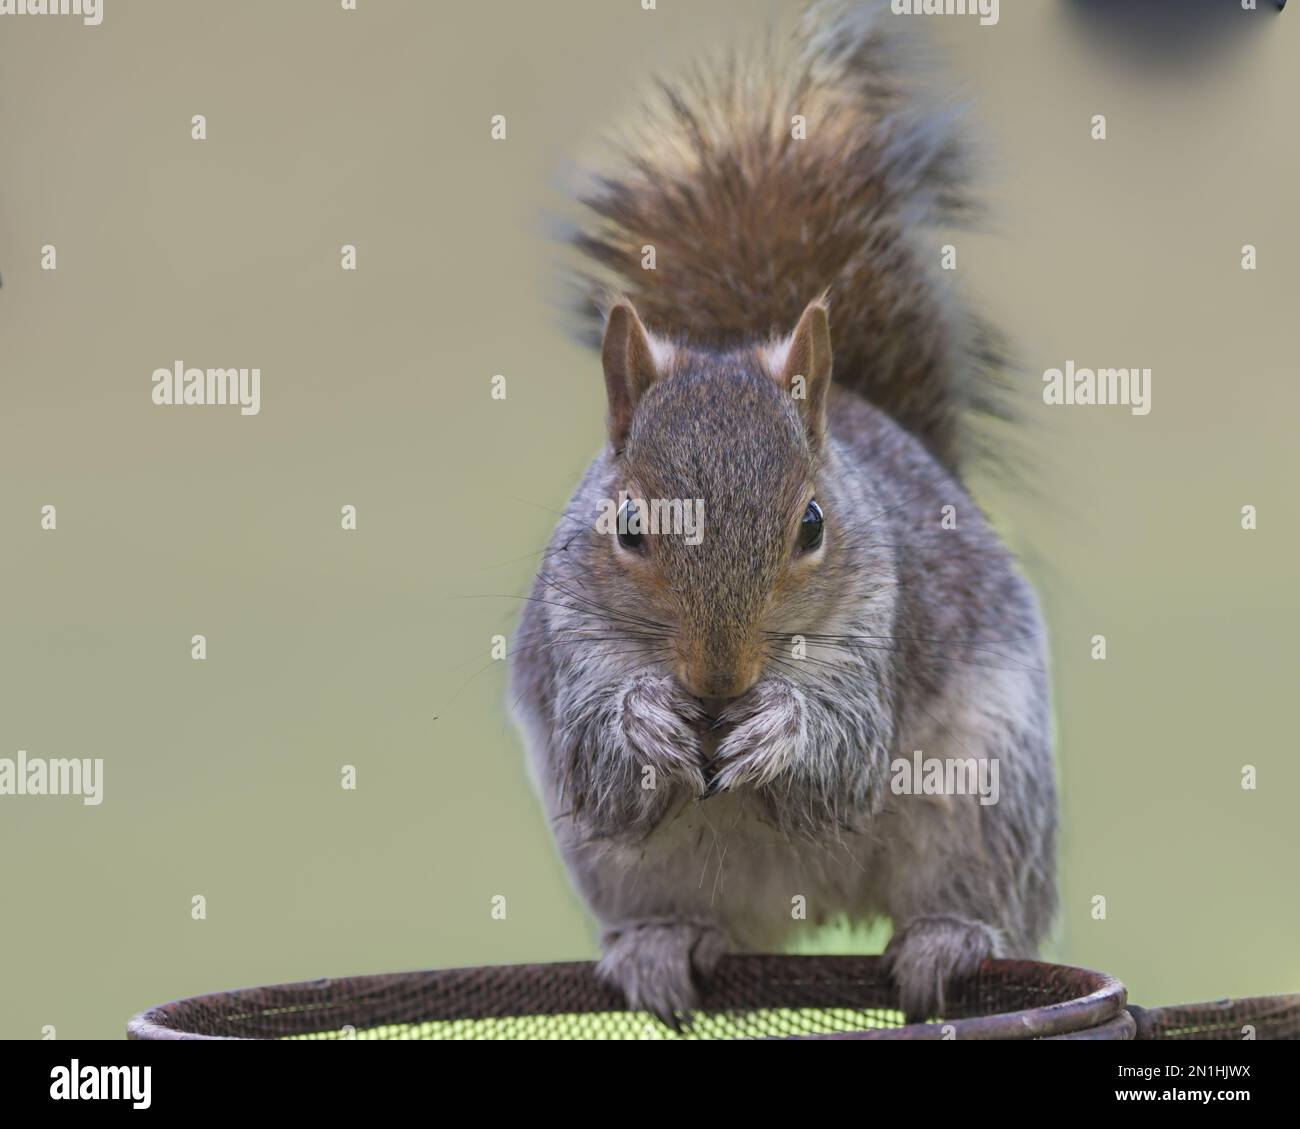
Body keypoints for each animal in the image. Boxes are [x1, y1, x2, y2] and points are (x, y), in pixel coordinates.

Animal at [509, 0, 1056, 1026]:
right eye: (629, 527)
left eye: (812, 526)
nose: (720, 678)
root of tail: (812, 911)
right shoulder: (571, 640)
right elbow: (598, 754)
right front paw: (646, 721)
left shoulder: (879, 626)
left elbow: (844, 752)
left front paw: (781, 730)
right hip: (624, 870)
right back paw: (661, 942)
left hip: (986, 796)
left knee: (973, 893)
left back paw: (949, 938)